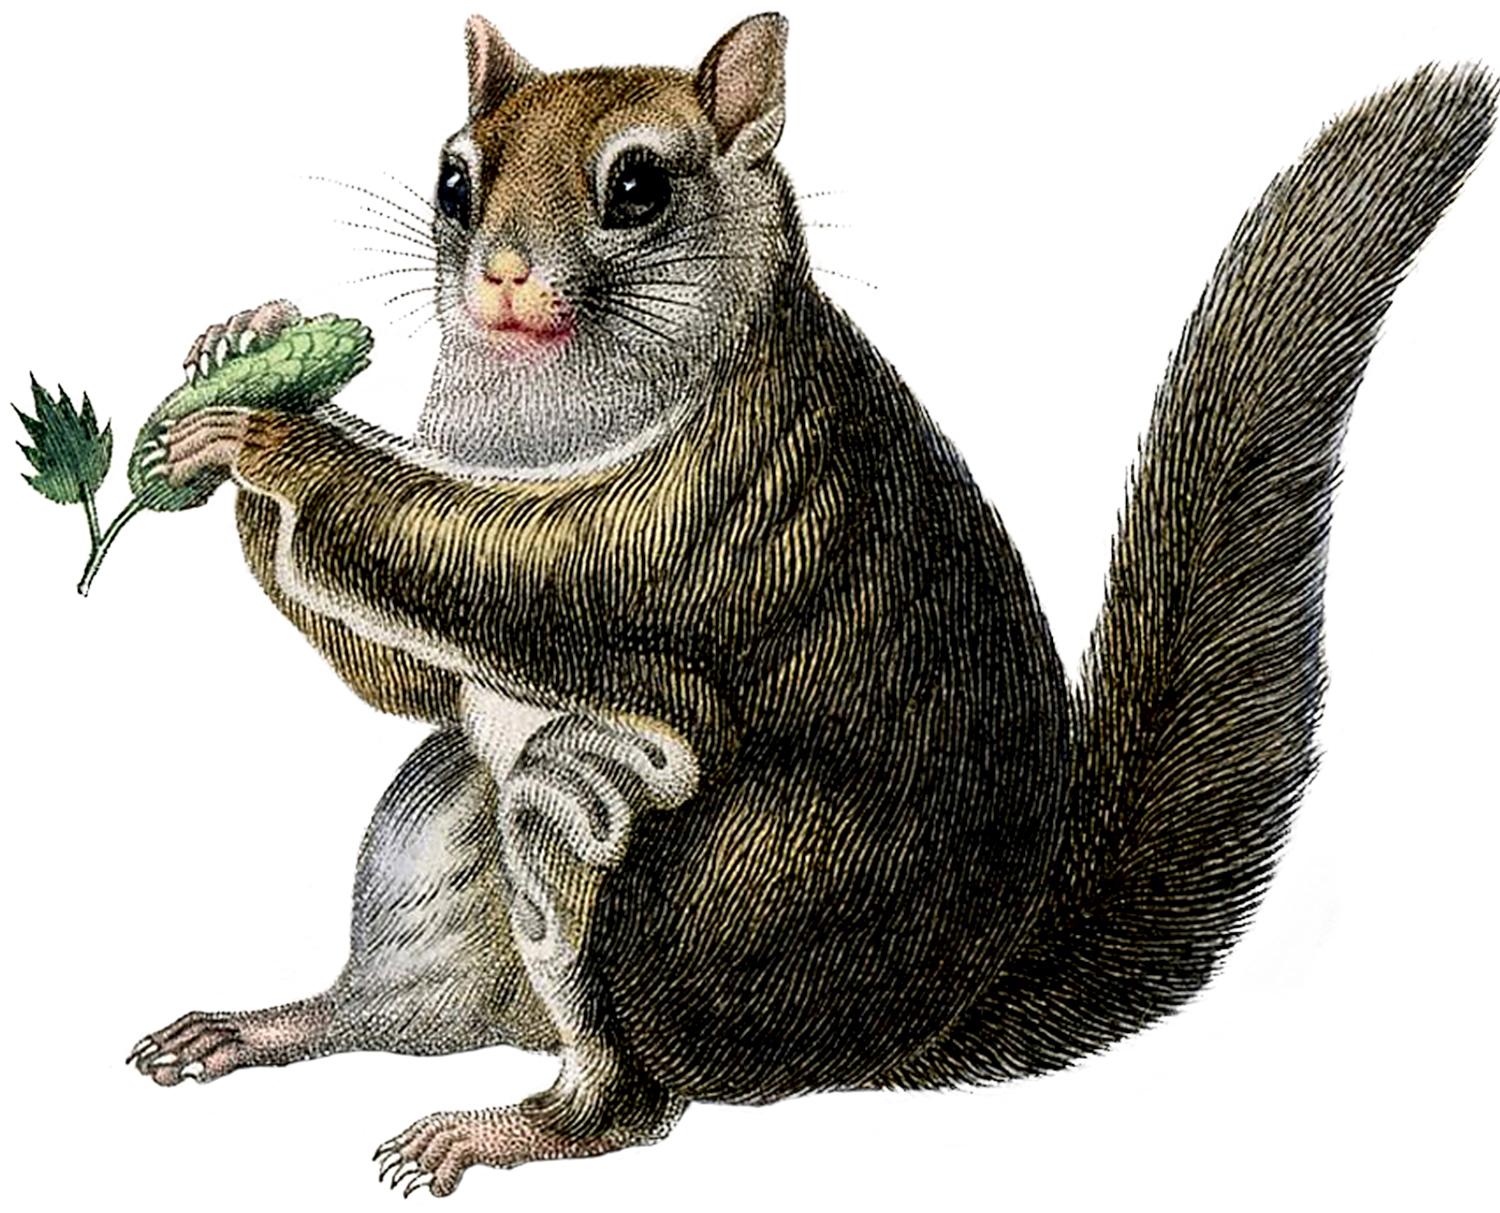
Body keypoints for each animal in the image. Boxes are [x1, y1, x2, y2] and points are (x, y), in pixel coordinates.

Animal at [120, 12, 1496, 1198]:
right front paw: (245, 346)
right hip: (443, 831)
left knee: (636, 1086)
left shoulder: (705, 500)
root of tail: (916, 1022)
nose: (501, 278)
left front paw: (278, 438)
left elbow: (509, 559)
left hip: (698, 895)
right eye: (454, 180)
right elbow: (408, 678)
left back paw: (517, 1125)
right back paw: (272, 1023)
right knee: (412, 1008)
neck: (534, 407)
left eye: (638, 186)